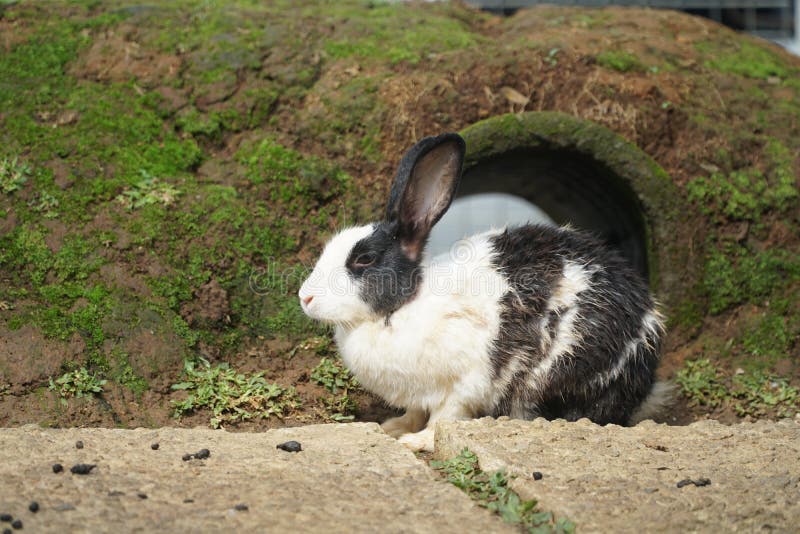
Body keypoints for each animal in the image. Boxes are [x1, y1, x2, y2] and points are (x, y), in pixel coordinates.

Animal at [298, 133, 669, 451]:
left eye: (364, 259)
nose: (305, 298)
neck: (400, 308)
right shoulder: (420, 394)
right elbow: (416, 412)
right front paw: (394, 428)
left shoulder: (464, 384)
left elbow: (443, 419)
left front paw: (416, 442)